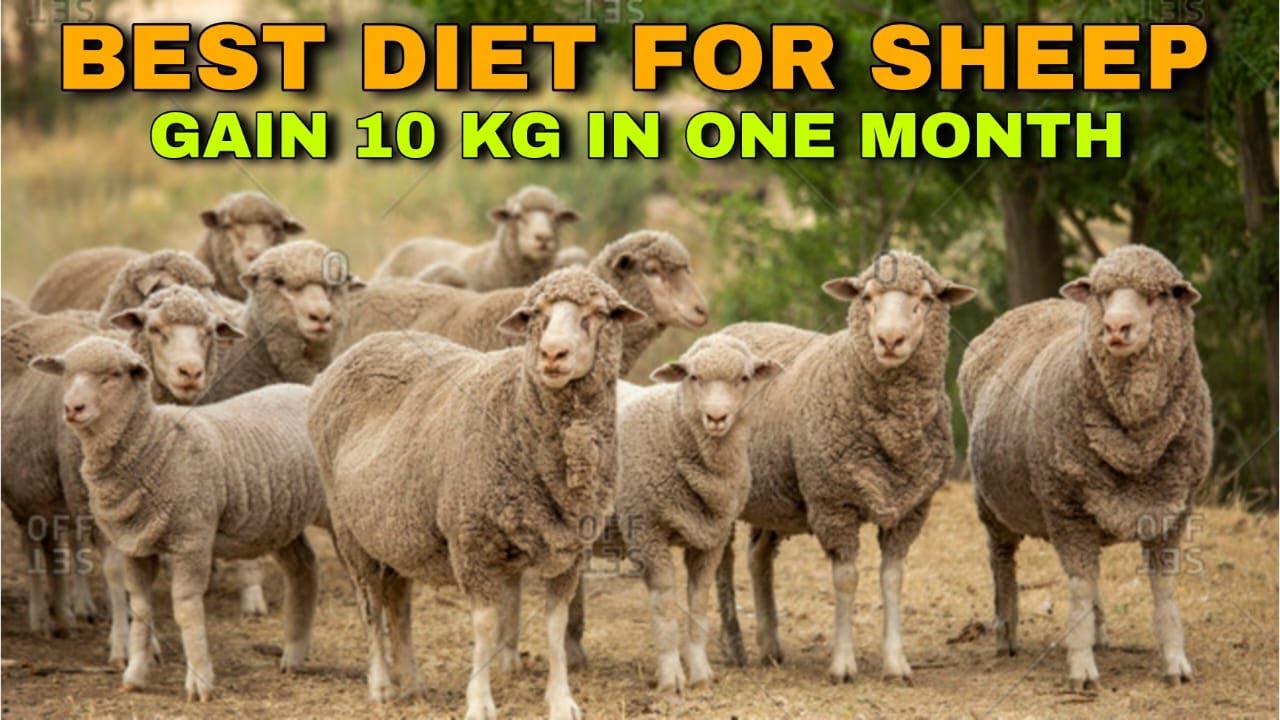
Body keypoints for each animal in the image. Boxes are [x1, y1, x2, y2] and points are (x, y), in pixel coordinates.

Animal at [33, 336, 327, 701]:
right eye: (66, 374)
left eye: (114, 375)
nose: (72, 408)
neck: (154, 442)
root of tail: (306, 387)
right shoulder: (135, 544)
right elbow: (140, 607)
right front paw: (135, 674)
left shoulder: (192, 539)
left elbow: (186, 610)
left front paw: (200, 681)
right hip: (279, 519)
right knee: (304, 568)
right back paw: (294, 654)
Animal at [308, 268, 644, 717]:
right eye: (535, 314)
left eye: (598, 313)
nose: (552, 355)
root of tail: (358, 348)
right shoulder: (471, 541)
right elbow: (484, 626)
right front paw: (480, 701)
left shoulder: (569, 551)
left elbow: (554, 626)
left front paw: (561, 700)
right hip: (349, 530)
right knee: (370, 604)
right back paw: (380, 686)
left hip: (397, 531)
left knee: (398, 605)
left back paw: (413, 684)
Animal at [601, 335, 781, 693]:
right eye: (694, 377)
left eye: (743, 378)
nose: (716, 417)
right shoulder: (647, 531)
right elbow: (665, 605)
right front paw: (671, 677)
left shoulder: (710, 539)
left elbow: (698, 603)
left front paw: (701, 673)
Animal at [713, 251, 976, 683]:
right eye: (866, 297)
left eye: (925, 299)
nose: (889, 340)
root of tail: (729, 330)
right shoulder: (832, 503)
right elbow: (846, 579)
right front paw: (842, 664)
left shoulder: (910, 509)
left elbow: (893, 579)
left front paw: (896, 663)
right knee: (721, 563)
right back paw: (730, 645)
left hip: (774, 494)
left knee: (759, 558)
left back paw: (770, 645)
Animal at [958, 245, 1211, 690]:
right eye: (1101, 293)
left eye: (1159, 294)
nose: (1115, 327)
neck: (1134, 445)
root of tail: (1031, 306)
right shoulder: (1066, 510)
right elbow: (1078, 589)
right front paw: (1081, 668)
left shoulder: (1172, 512)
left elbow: (1163, 592)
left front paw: (1176, 662)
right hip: (992, 503)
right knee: (1002, 559)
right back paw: (1007, 633)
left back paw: (1100, 633)